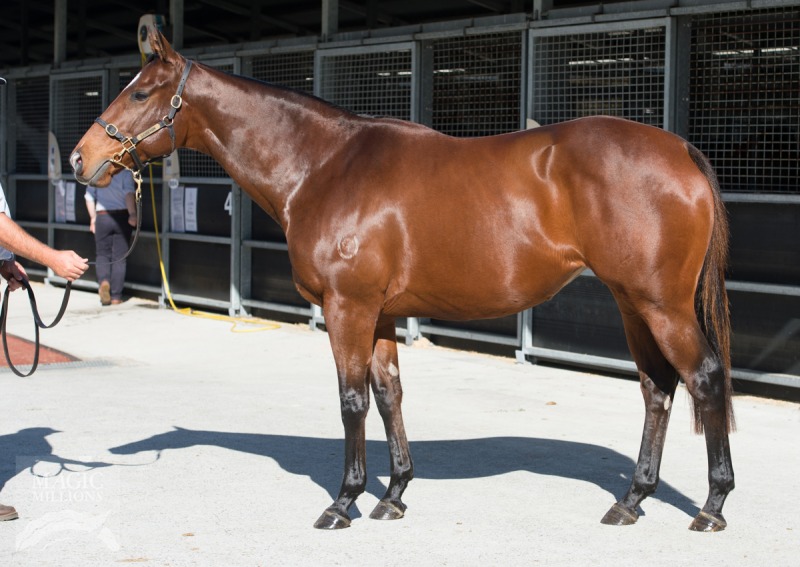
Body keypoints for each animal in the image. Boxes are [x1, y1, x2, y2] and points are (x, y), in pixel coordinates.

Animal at [70, 28, 734, 532]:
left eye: (142, 91)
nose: (80, 159)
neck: (321, 167)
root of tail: (680, 150)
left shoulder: (348, 308)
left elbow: (352, 401)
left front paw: (343, 501)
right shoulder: (382, 313)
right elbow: (388, 395)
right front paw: (393, 495)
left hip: (660, 304)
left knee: (702, 378)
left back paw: (711, 505)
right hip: (632, 303)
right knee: (656, 389)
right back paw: (632, 500)